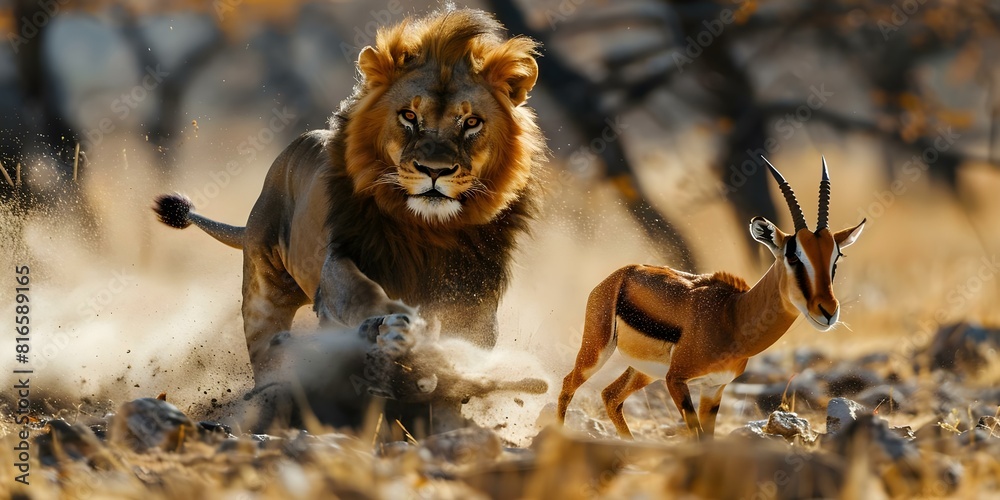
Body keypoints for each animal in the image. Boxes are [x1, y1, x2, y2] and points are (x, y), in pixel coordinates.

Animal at [152, 8, 546, 424]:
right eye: (409, 116)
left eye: (471, 123)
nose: (434, 170)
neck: (427, 229)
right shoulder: (340, 260)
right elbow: (363, 292)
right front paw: (396, 327)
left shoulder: (474, 291)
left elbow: (462, 360)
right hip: (264, 289)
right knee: (267, 349)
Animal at [557, 157, 865, 440]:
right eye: (793, 256)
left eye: (836, 257)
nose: (828, 310)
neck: (733, 316)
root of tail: (624, 271)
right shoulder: (676, 380)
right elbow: (696, 436)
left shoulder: (714, 387)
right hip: (597, 353)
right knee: (569, 384)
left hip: (644, 372)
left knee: (610, 396)